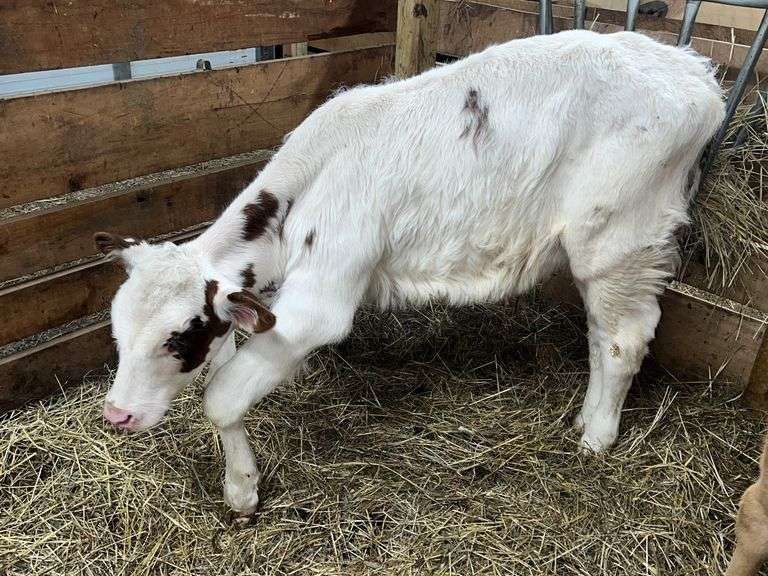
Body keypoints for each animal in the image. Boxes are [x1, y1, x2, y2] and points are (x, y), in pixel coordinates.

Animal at [95, 30, 724, 518]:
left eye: (179, 337)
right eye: (118, 333)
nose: (116, 414)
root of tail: (694, 71)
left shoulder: (321, 300)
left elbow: (222, 398)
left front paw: (242, 490)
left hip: (621, 235)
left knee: (624, 337)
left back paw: (596, 437)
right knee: (600, 332)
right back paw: (582, 420)